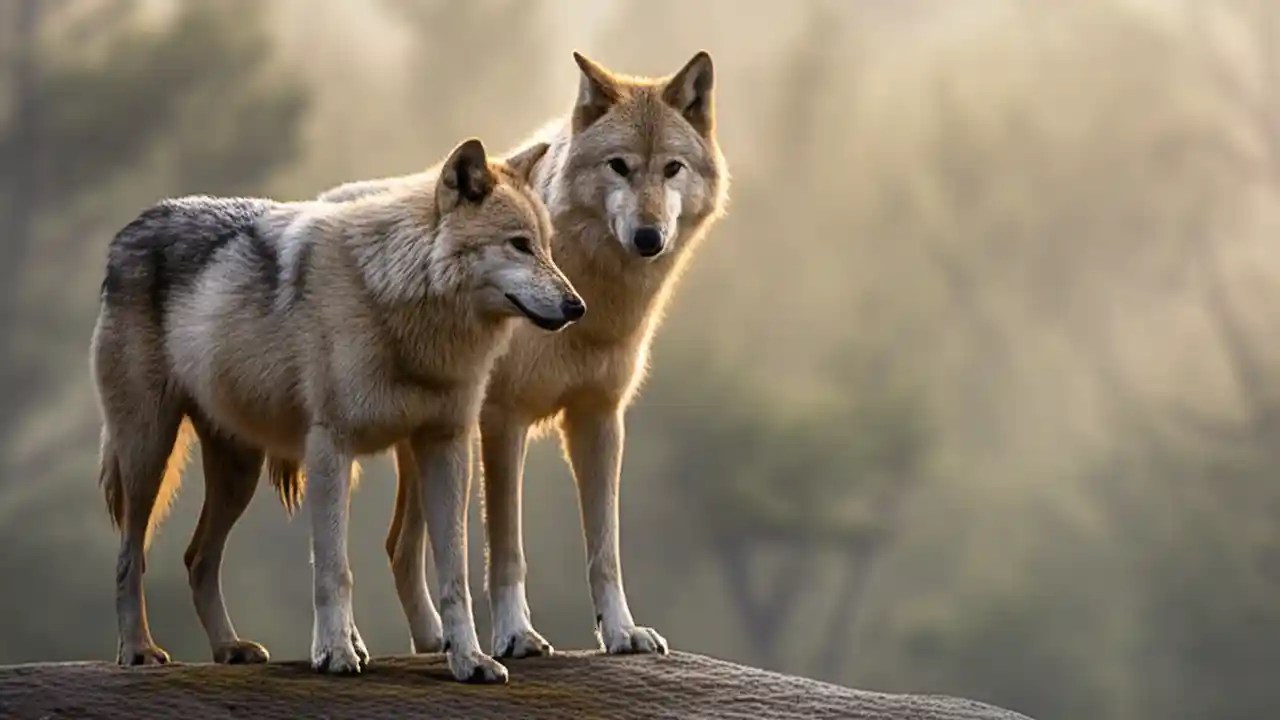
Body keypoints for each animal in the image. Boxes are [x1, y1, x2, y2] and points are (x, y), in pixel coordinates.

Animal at [92, 138, 581, 684]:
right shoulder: (331, 448)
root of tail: (133, 227)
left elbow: (454, 572)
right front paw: (335, 653)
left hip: (239, 472)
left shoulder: (446, 446)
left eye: (547, 246)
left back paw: (230, 647)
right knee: (129, 557)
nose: (577, 306)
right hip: (148, 456)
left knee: (198, 558)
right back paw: (138, 649)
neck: (396, 299)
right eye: (519, 244)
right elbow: (333, 569)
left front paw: (469, 660)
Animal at [320, 51, 729, 659]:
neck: (595, 300)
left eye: (672, 169)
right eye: (619, 166)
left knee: (398, 546)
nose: (649, 237)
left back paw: (435, 643)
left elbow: (605, 549)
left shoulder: (599, 418)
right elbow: (506, 548)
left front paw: (622, 632)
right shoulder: (502, 421)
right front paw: (515, 634)